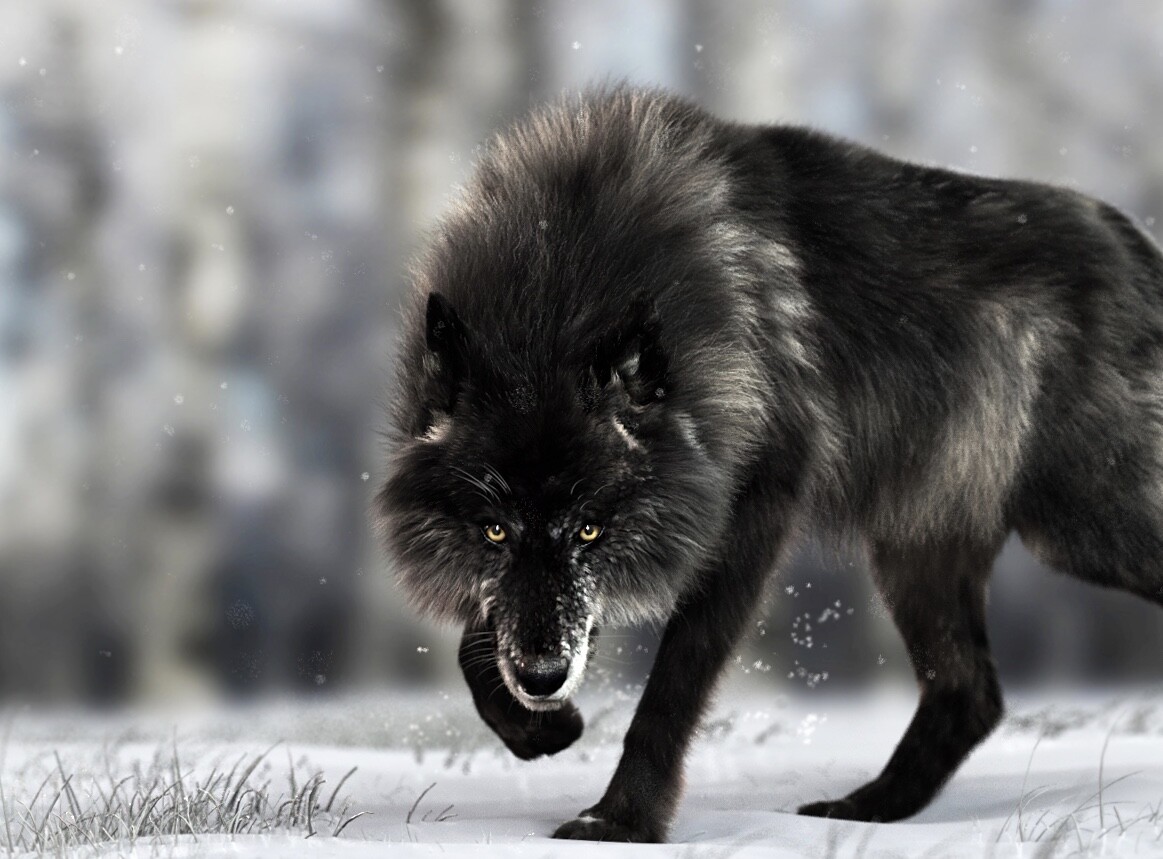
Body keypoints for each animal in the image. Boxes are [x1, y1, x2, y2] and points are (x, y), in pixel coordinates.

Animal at [375, 86, 1163, 842]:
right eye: (494, 530)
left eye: (590, 530)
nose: (543, 678)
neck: (559, 282)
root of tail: (1137, 240)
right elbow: (479, 640)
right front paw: (539, 728)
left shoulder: (746, 516)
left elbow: (672, 689)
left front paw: (619, 823)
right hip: (917, 547)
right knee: (970, 694)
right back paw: (861, 812)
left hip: (1078, 531)